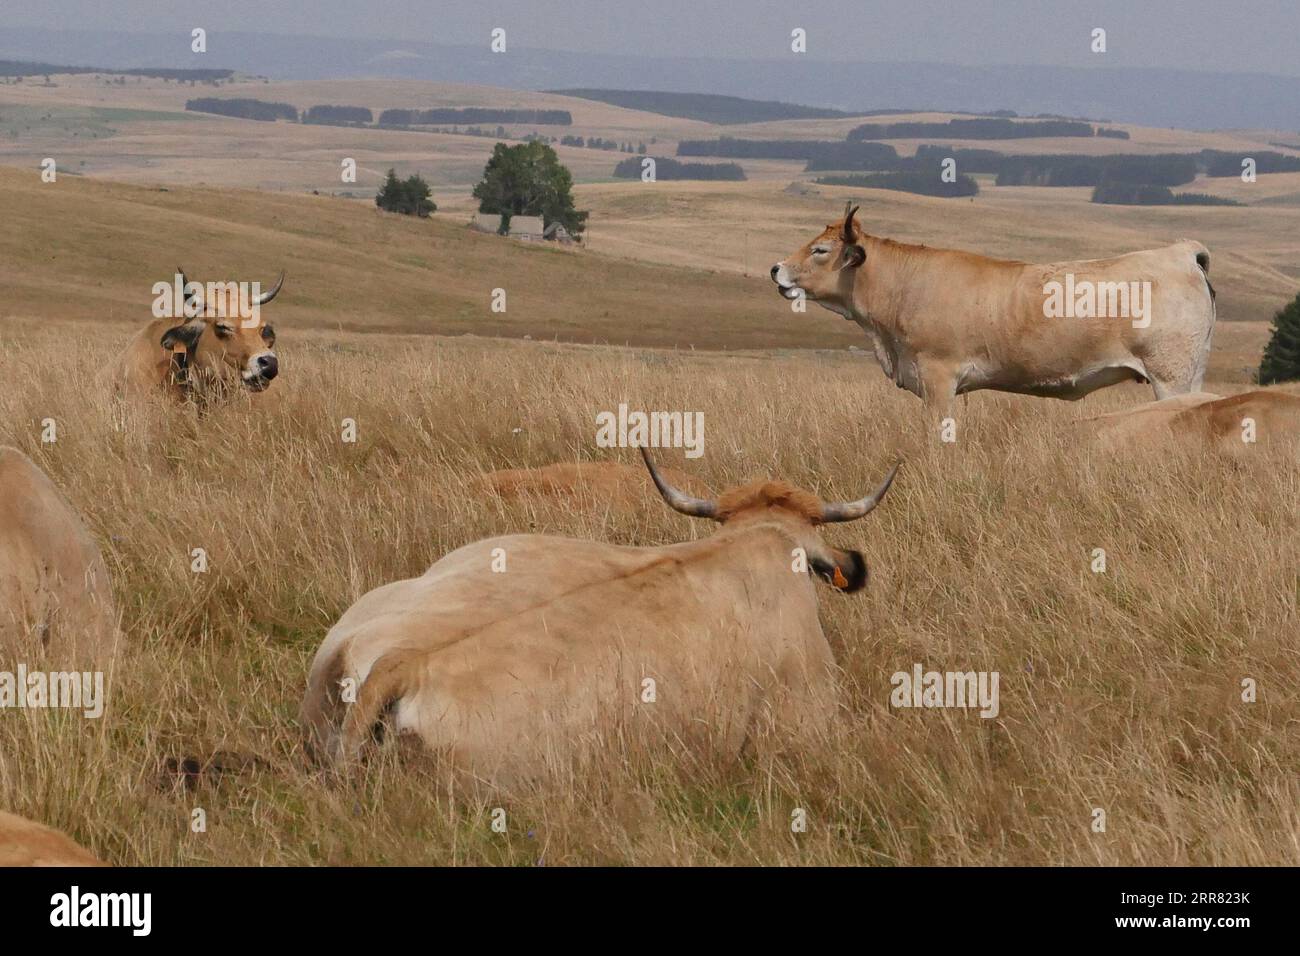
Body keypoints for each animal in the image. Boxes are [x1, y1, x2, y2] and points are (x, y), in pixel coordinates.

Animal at [772, 206, 1216, 412]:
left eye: (820, 250)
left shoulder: (938, 377)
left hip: (1171, 376)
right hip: (1191, 373)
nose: (776, 269)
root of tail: (1181, 252)